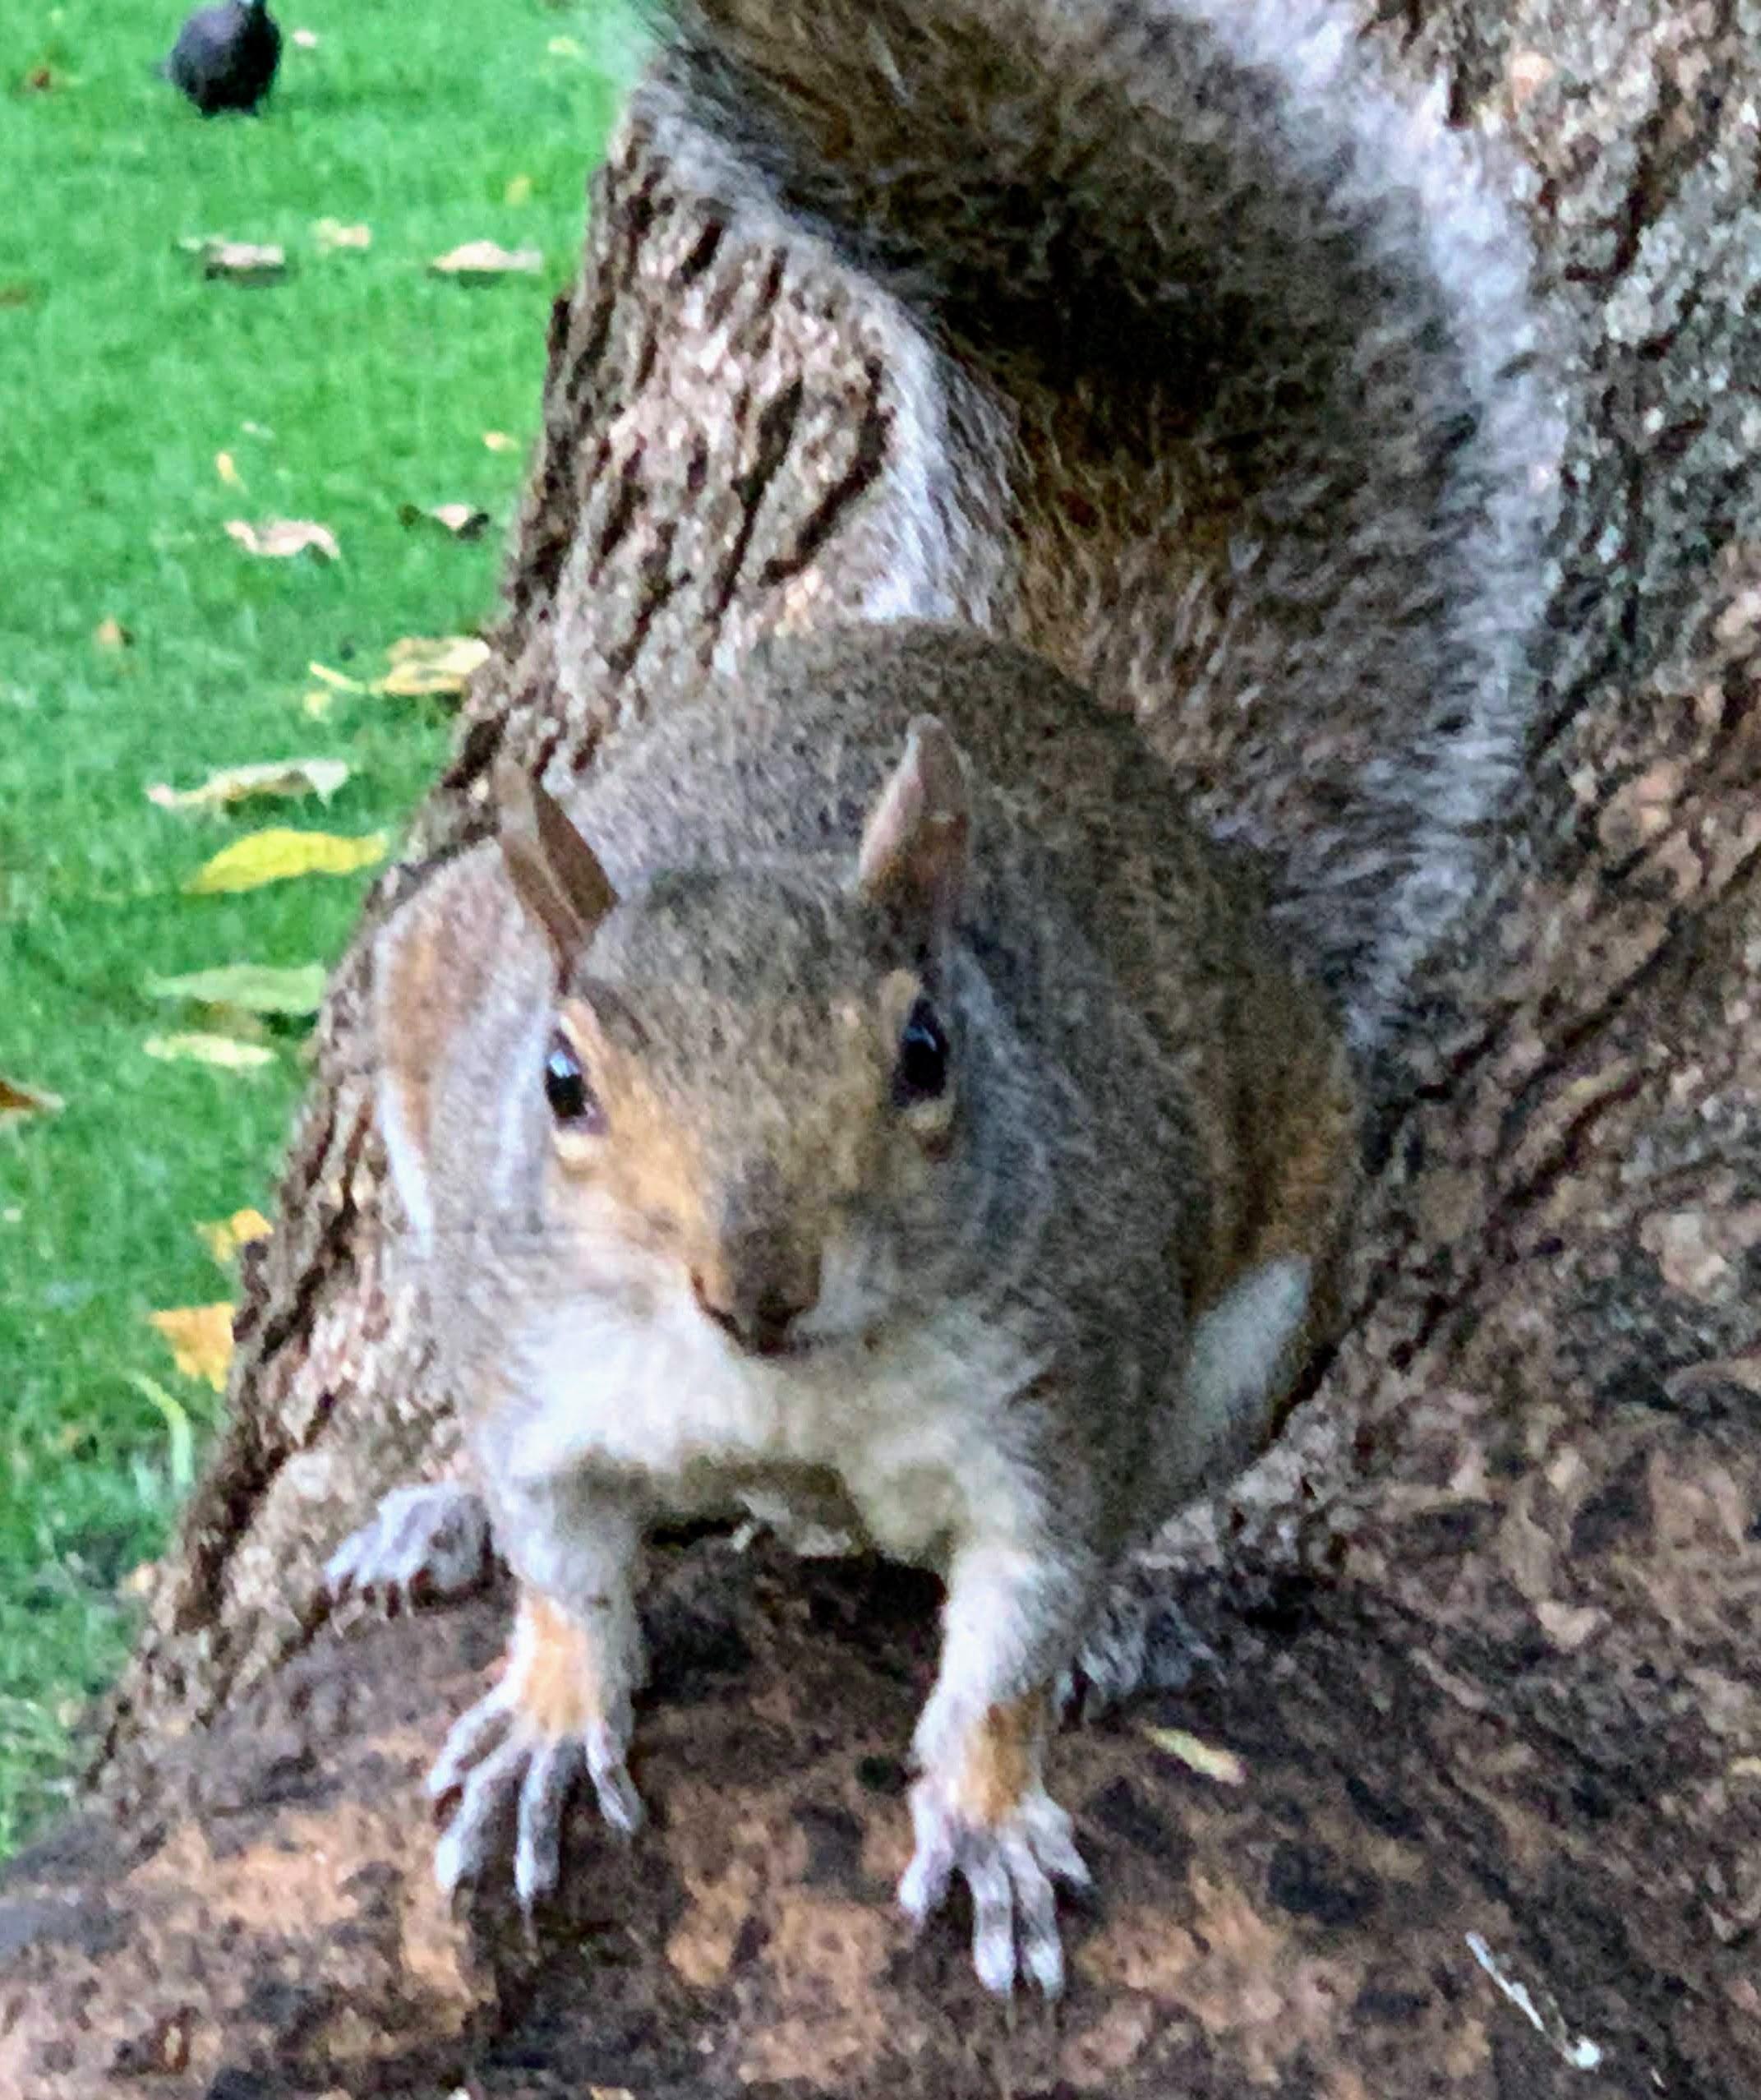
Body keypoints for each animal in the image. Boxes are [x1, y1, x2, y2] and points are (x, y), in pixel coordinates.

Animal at [323, 0, 1560, 1998]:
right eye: (564, 1081)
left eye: (927, 1051)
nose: (754, 1281)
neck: (783, 1390)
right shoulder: (540, 1351)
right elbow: (570, 1560)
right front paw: (549, 1710)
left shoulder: (1058, 1387)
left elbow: (1014, 1634)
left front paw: (986, 1818)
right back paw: (438, 1513)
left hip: (1256, 1301)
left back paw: (1132, 1616)